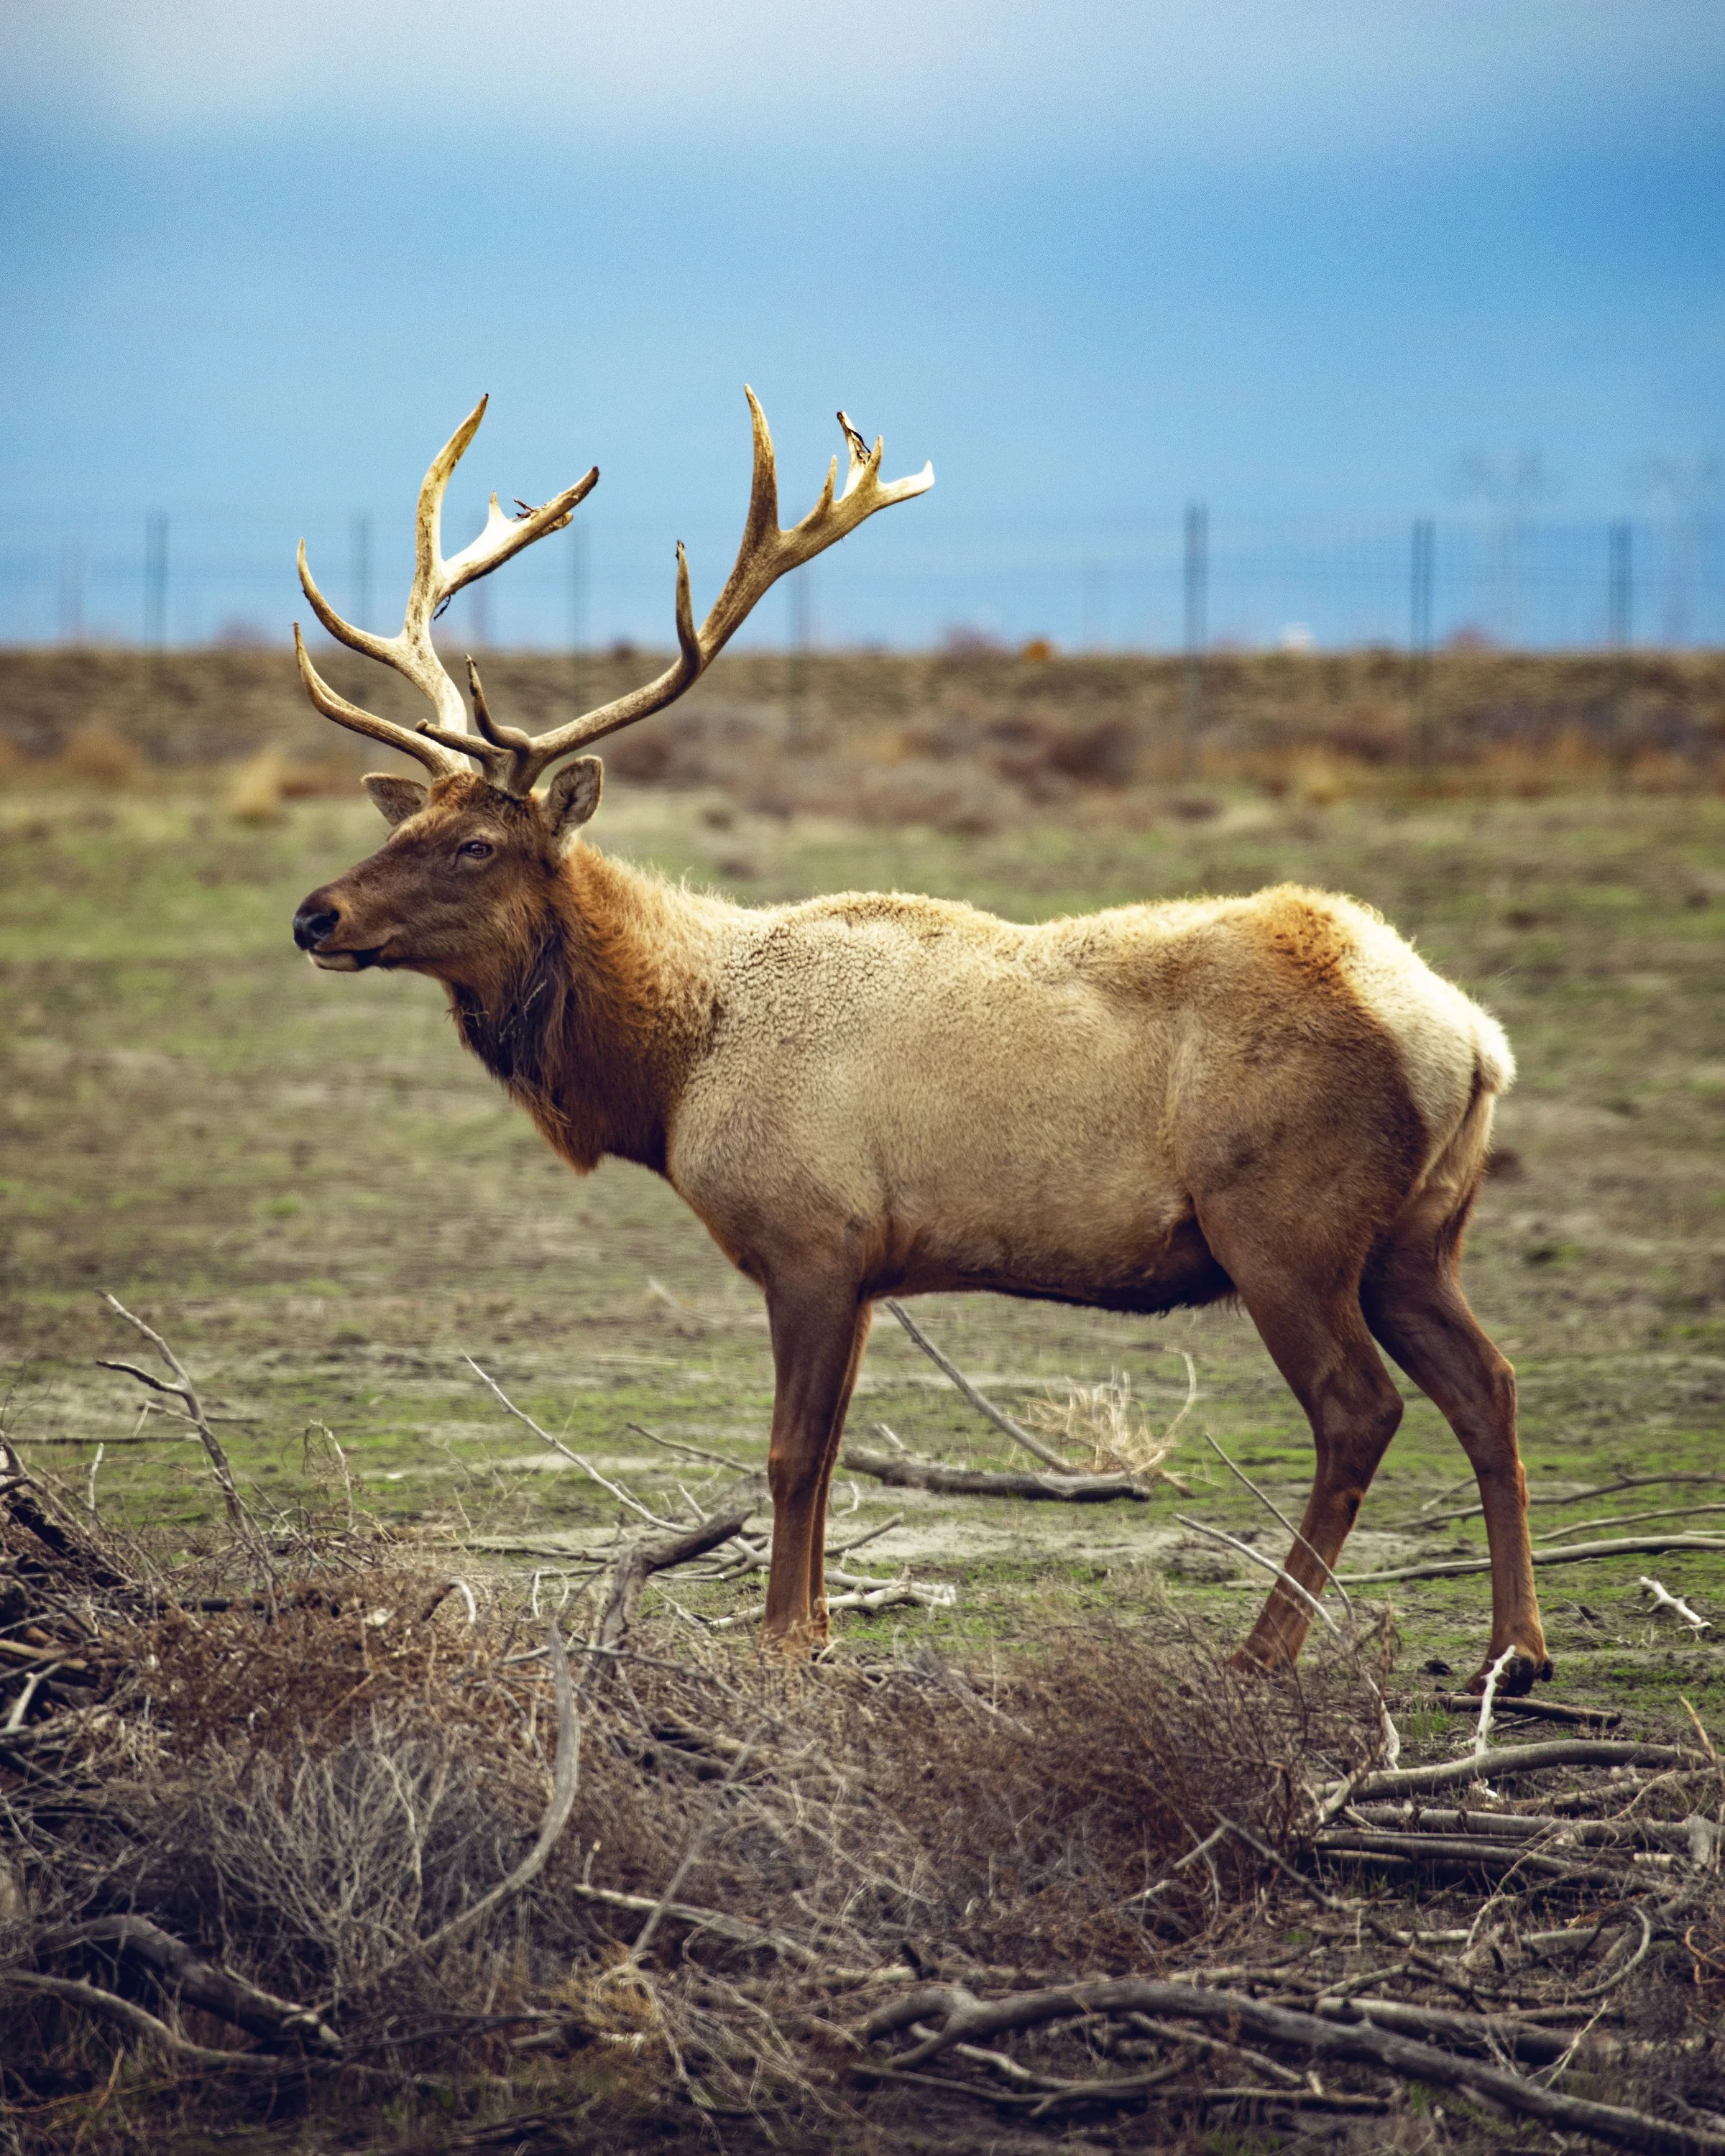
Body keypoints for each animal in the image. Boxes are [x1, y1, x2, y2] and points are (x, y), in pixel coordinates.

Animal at [289, 390, 1550, 1696]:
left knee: (1361, 1408)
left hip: (1284, 1226)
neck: (676, 1072)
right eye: (406, 824)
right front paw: (816, 1625)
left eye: (477, 845)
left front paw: (781, 1638)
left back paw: (1265, 1648)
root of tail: (1473, 1037)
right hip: (1415, 1236)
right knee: (1491, 1387)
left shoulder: (809, 1235)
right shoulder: (865, 1265)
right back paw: (1515, 1647)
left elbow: (792, 1450)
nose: (314, 916)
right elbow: (831, 1446)